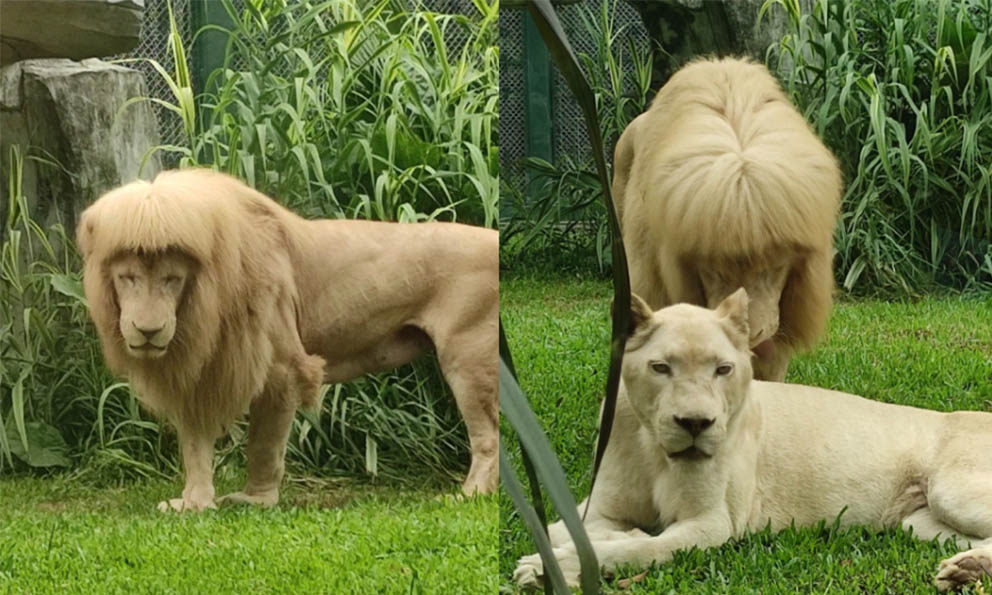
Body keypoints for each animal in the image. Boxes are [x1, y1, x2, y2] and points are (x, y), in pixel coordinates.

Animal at [77, 168, 498, 512]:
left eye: (171, 279)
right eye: (128, 278)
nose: (148, 330)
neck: (203, 305)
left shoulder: (280, 368)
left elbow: (263, 444)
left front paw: (256, 500)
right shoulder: (199, 373)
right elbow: (195, 447)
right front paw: (193, 503)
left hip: (467, 355)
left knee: (487, 435)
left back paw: (471, 493)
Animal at [514, 290, 992, 592]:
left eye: (723, 369)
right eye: (661, 367)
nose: (695, 423)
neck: (653, 448)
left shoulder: (711, 525)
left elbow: (636, 549)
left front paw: (547, 566)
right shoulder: (602, 508)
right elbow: (585, 528)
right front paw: (561, 546)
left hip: (952, 491)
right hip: (919, 522)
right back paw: (967, 570)